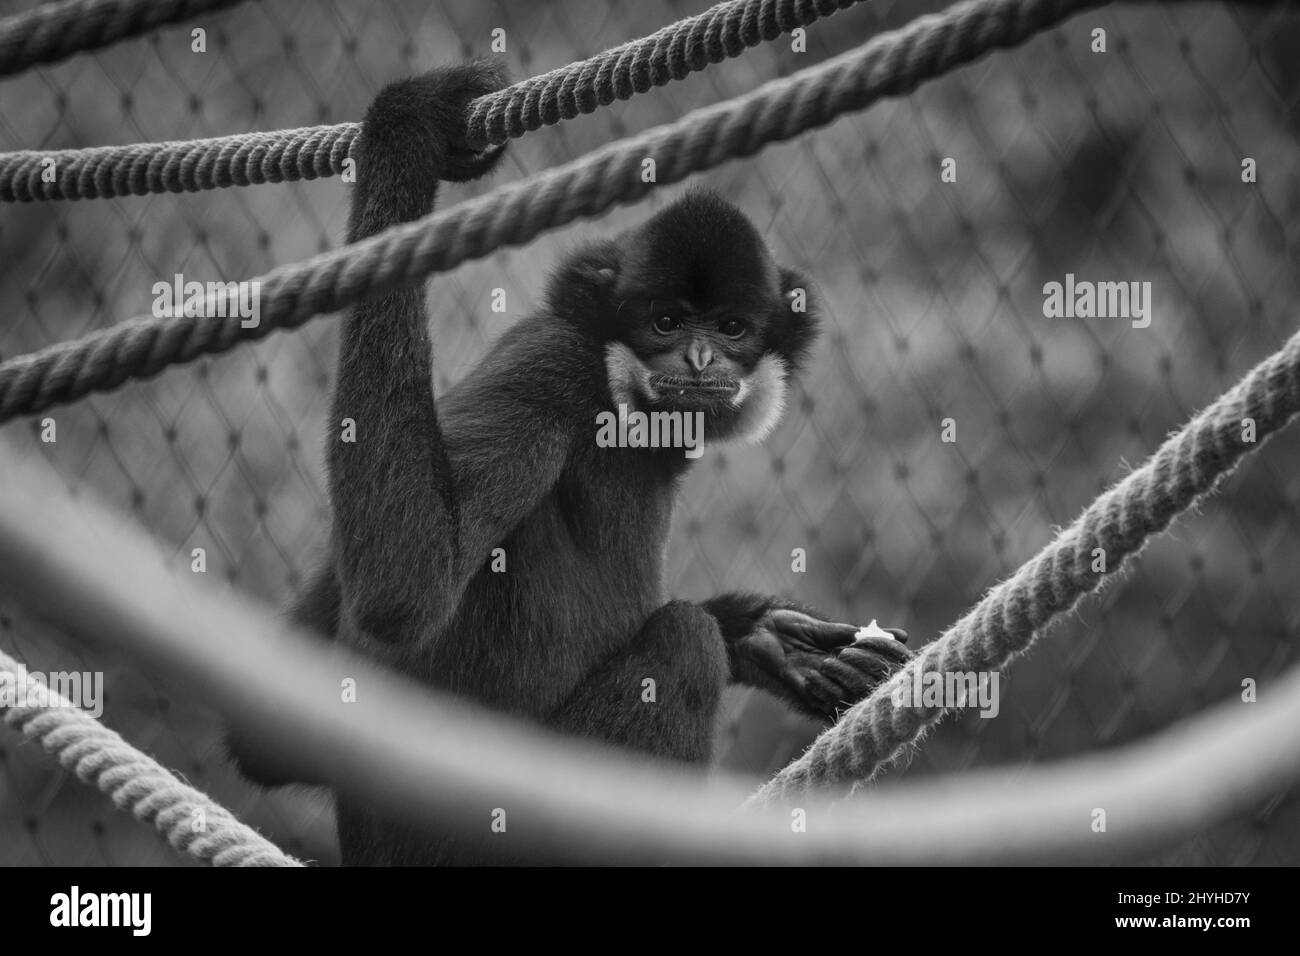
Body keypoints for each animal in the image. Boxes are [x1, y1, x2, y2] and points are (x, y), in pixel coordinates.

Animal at [226, 62, 911, 865]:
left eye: (732, 327)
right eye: (666, 322)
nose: (700, 358)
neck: (620, 414)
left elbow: (267, 740)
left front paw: (764, 638)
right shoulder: (550, 366)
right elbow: (402, 588)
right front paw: (407, 123)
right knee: (681, 643)